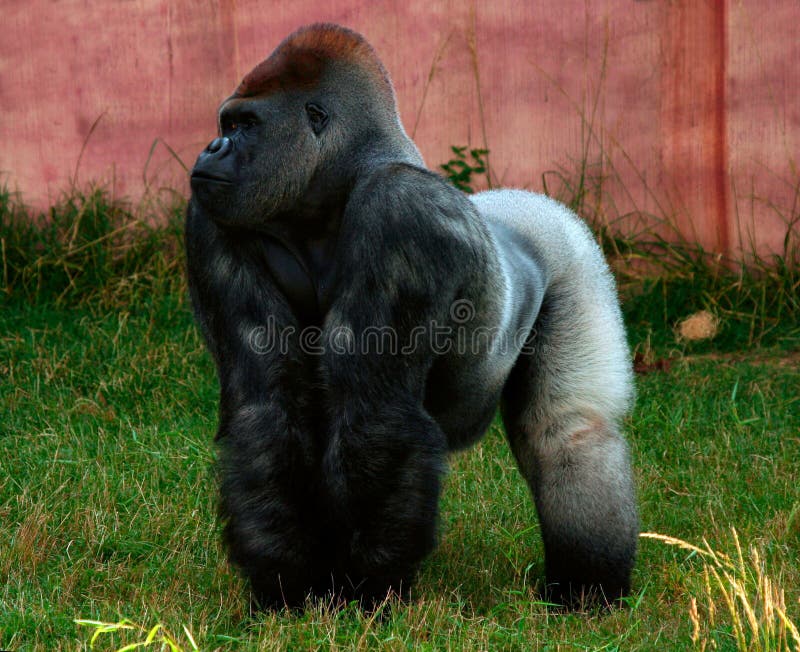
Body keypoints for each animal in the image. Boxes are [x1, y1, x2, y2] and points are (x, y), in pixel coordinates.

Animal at [185, 23, 638, 610]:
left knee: (566, 430)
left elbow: (374, 412)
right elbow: (266, 403)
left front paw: (368, 589)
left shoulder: (402, 210)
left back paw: (588, 589)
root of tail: (518, 200)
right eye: (227, 124)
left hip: (576, 254)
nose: (212, 147)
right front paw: (288, 582)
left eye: (246, 125)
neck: (333, 190)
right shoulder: (215, 219)